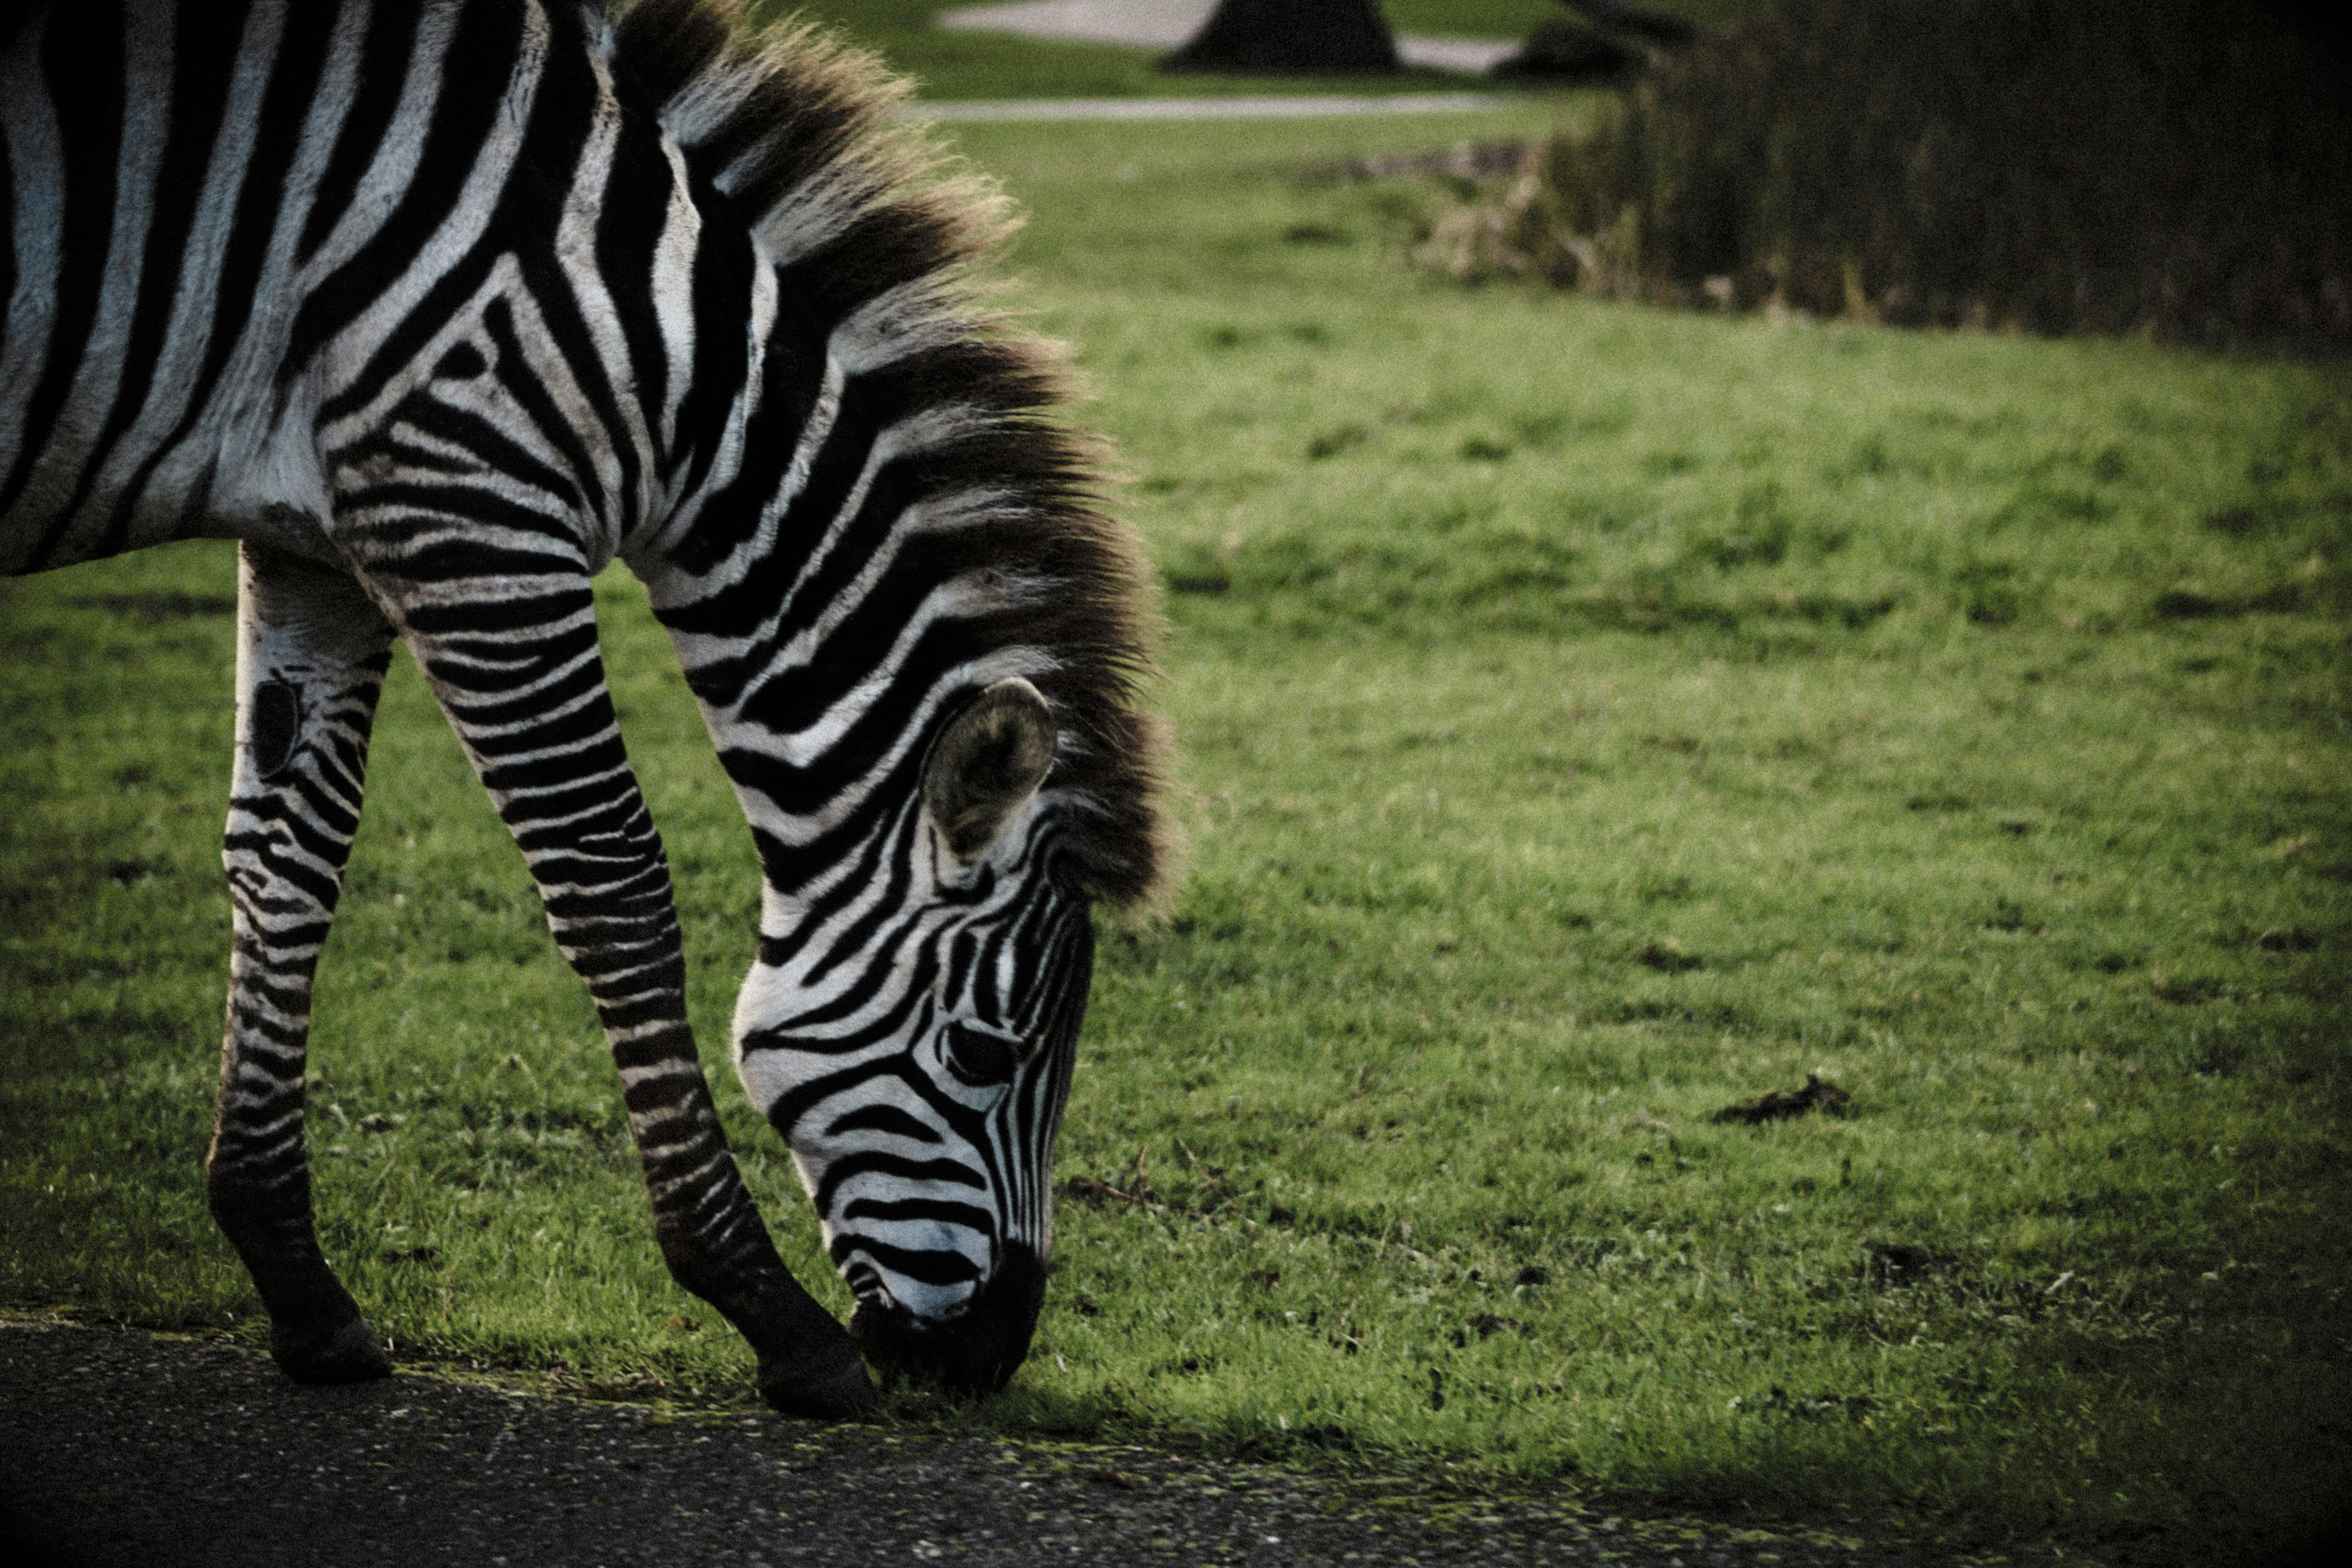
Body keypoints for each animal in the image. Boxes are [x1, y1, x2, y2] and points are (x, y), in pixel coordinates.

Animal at [1, 0, 1169, 1416]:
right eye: (988, 1055)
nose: (990, 1360)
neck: (659, 343)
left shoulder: (319, 536)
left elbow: (287, 860)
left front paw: (296, 1280)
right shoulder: (472, 507)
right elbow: (614, 885)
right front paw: (768, 1311)